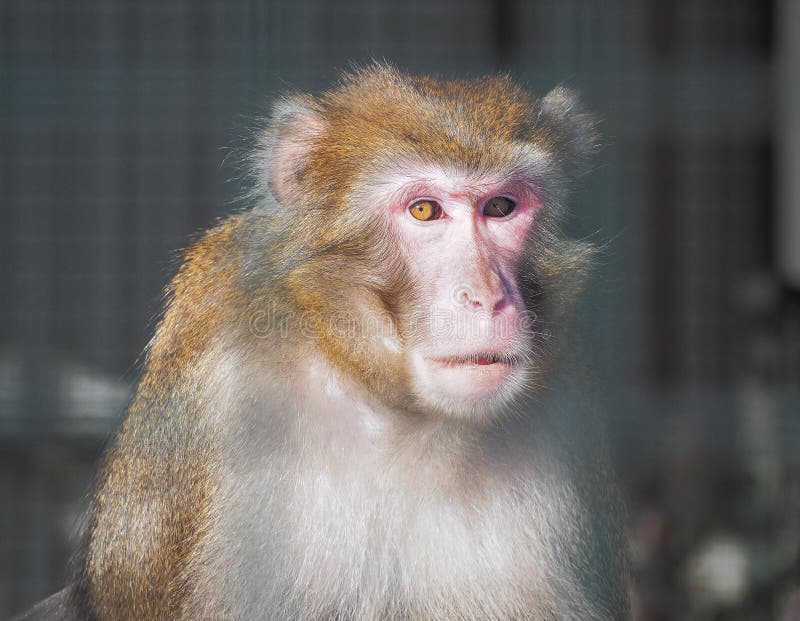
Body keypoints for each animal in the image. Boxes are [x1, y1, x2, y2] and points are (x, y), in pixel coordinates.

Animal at [16, 63, 630, 621]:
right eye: (425, 210)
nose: (486, 296)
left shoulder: (566, 412)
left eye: (500, 207)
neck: (396, 406)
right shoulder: (230, 377)